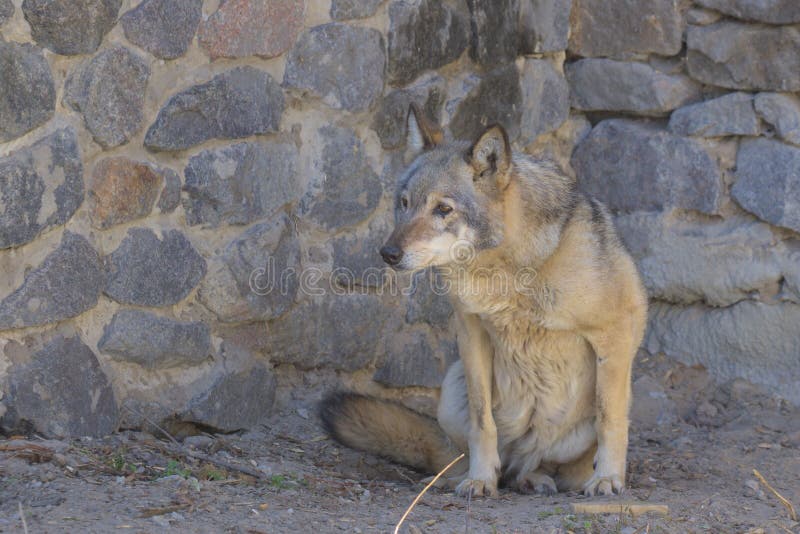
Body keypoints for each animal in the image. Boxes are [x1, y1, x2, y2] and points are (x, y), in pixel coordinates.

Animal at [320, 104, 648, 498]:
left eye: (443, 209)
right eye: (404, 204)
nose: (388, 253)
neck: (508, 270)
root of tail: (520, 457)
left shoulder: (615, 331)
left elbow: (610, 419)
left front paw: (608, 479)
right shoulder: (472, 332)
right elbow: (482, 420)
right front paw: (479, 479)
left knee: (548, 464)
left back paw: (540, 479)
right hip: (451, 389)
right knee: (477, 460)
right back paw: (474, 477)